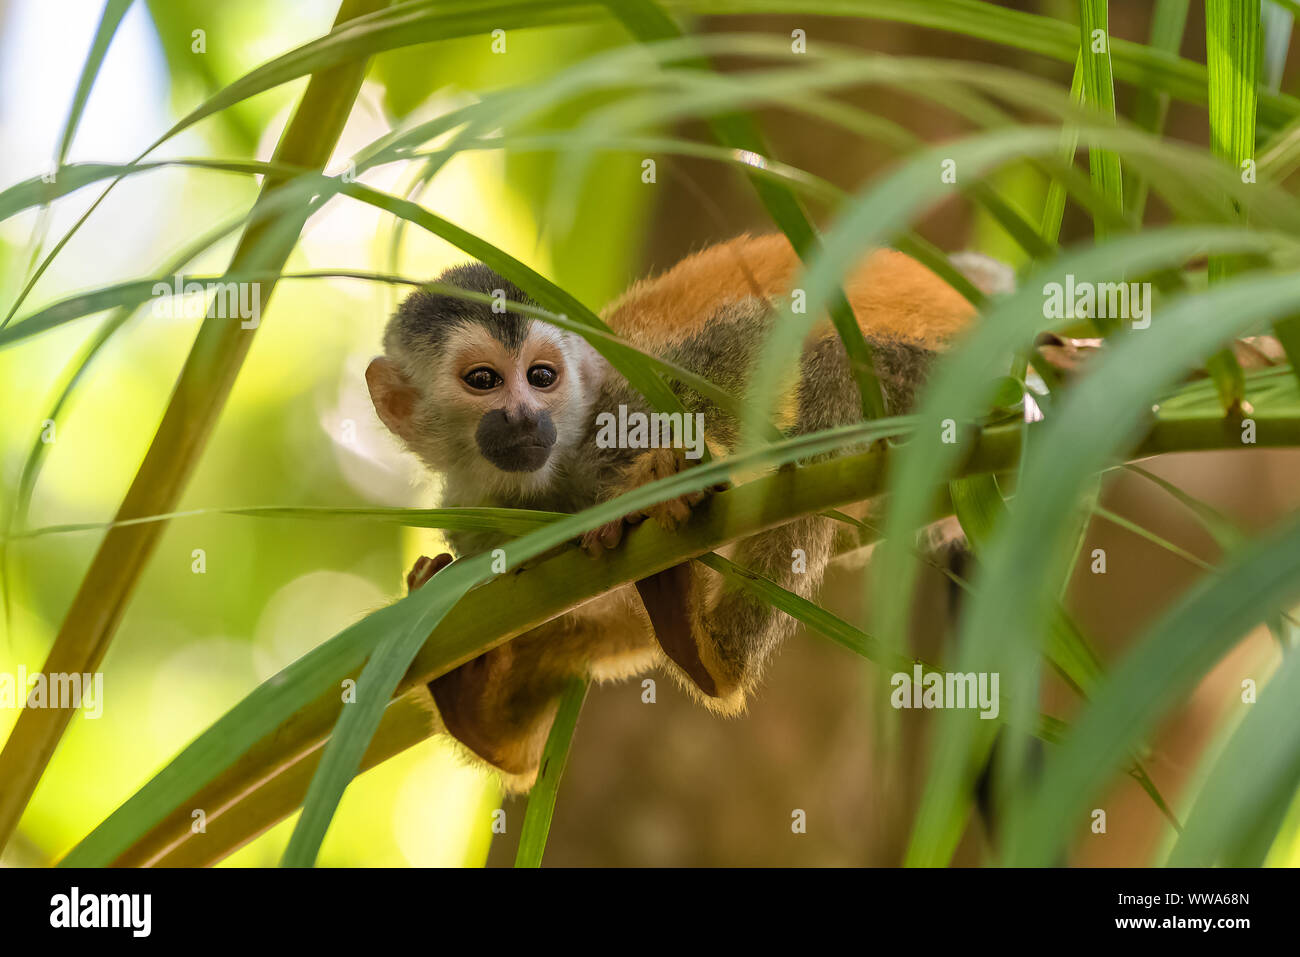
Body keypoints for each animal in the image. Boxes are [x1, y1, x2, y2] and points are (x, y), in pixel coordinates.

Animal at [366, 233, 1006, 788]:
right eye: (483, 380)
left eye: (542, 376)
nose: (525, 416)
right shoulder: (474, 520)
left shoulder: (627, 397)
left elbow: (762, 336)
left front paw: (679, 468)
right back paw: (487, 721)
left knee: (833, 371)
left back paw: (712, 661)